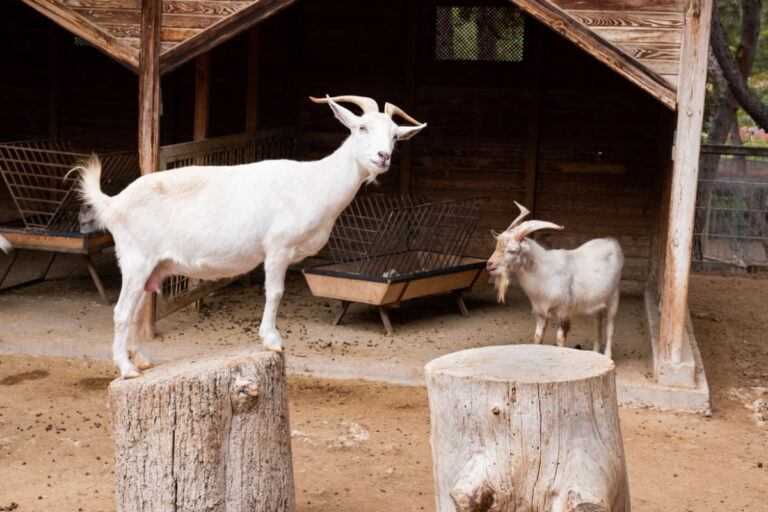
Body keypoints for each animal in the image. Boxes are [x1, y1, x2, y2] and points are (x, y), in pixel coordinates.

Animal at [72, 95, 426, 378]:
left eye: (395, 136)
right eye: (362, 127)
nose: (382, 157)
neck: (314, 182)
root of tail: (113, 203)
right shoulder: (278, 248)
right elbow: (275, 293)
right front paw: (273, 341)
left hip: (150, 266)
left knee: (133, 311)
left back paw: (142, 360)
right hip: (137, 258)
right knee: (121, 313)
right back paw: (127, 369)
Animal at [486, 202, 624, 358]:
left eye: (512, 251)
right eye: (497, 246)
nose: (489, 264)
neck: (545, 273)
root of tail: (612, 242)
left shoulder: (565, 311)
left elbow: (560, 338)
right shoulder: (540, 311)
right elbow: (538, 336)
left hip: (614, 296)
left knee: (610, 325)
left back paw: (607, 355)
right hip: (598, 300)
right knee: (598, 321)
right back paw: (595, 351)